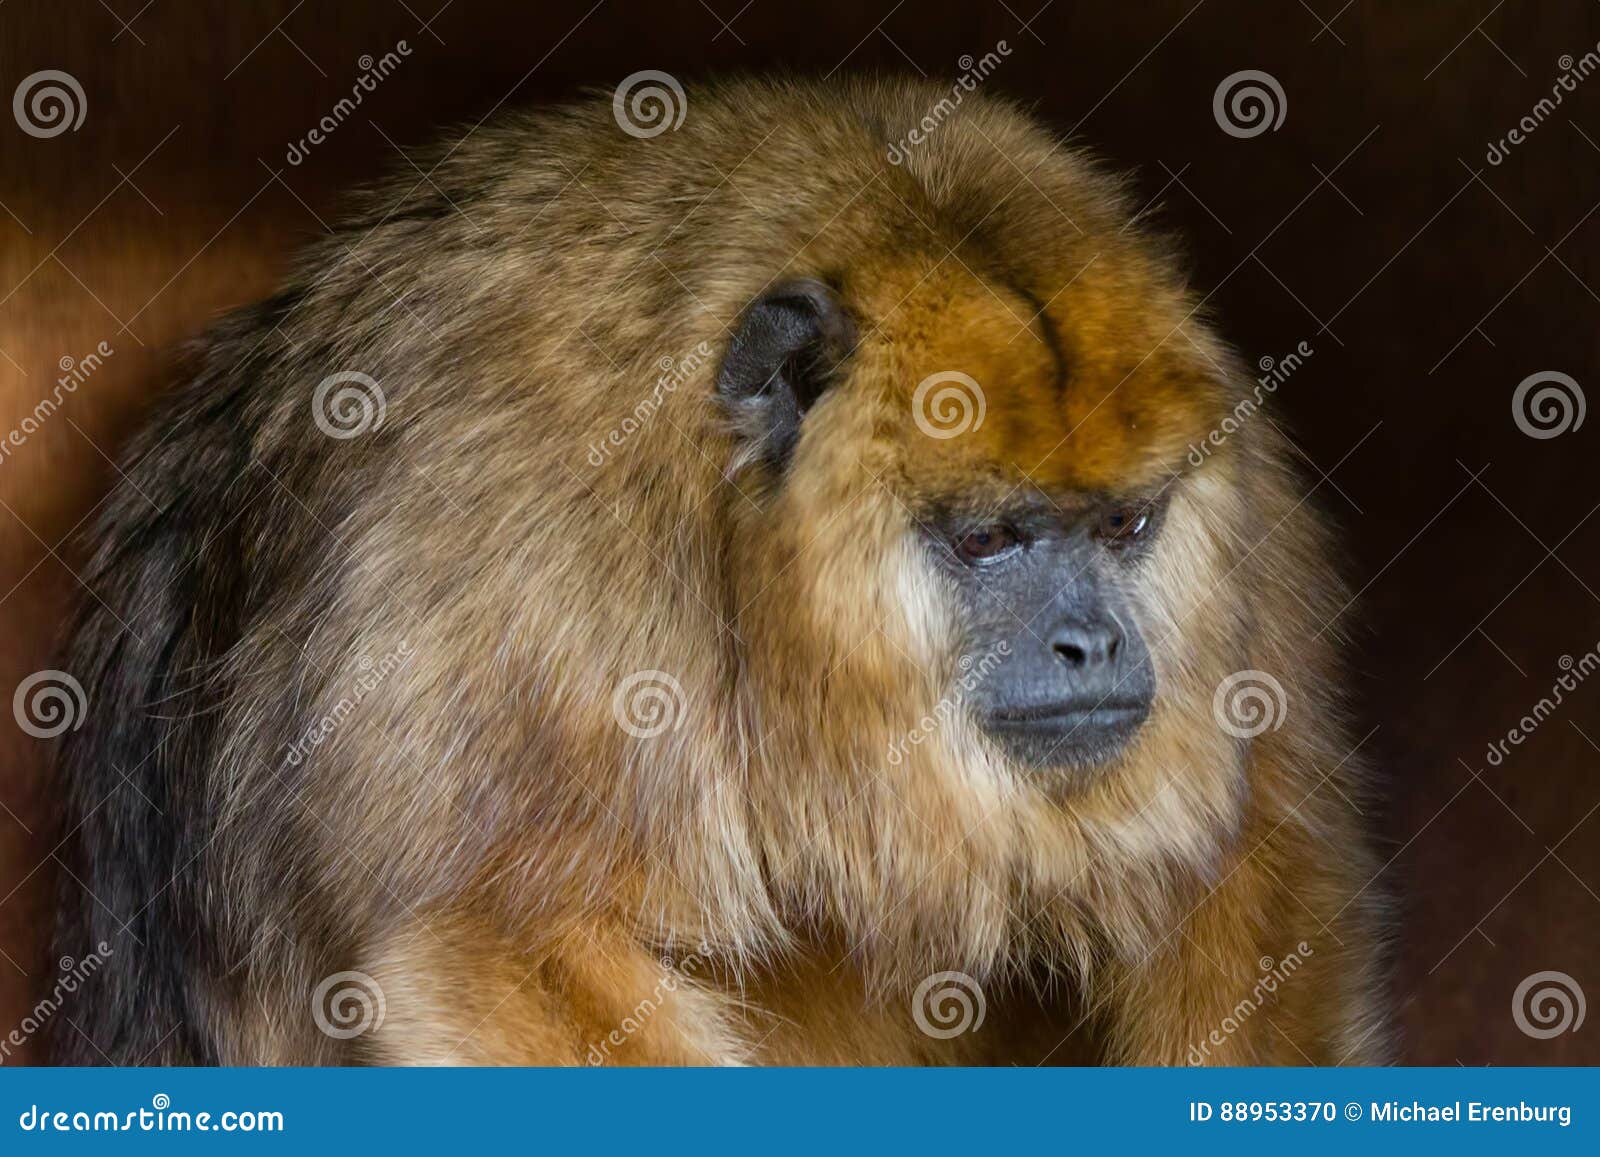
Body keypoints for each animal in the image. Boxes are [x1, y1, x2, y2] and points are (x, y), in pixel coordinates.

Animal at [48, 75, 1389, 1066]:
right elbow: (486, 933)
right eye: (986, 539)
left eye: (1124, 525)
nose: (1091, 642)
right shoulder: (517, 556)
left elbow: (1266, 869)